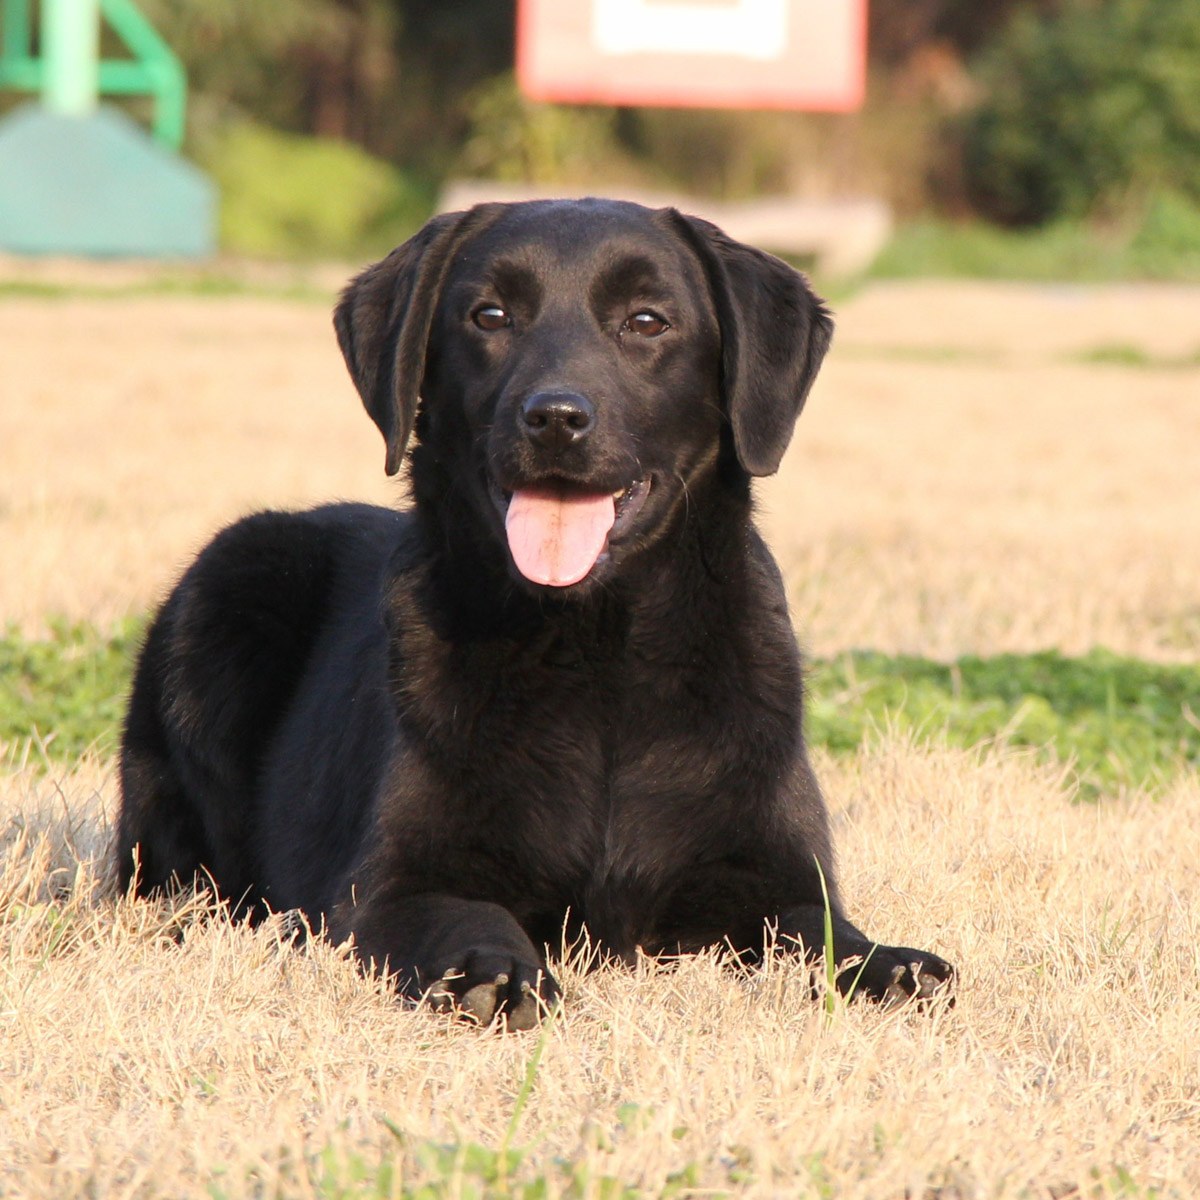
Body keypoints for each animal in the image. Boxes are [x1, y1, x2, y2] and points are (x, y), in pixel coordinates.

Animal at [117, 199, 950, 1022]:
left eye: (646, 321)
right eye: (490, 315)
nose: (554, 417)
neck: (595, 651)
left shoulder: (772, 870)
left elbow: (821, 929)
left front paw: (888, 965)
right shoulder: (392, 884)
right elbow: (466, 914)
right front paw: (494, 972)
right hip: (232, 582)